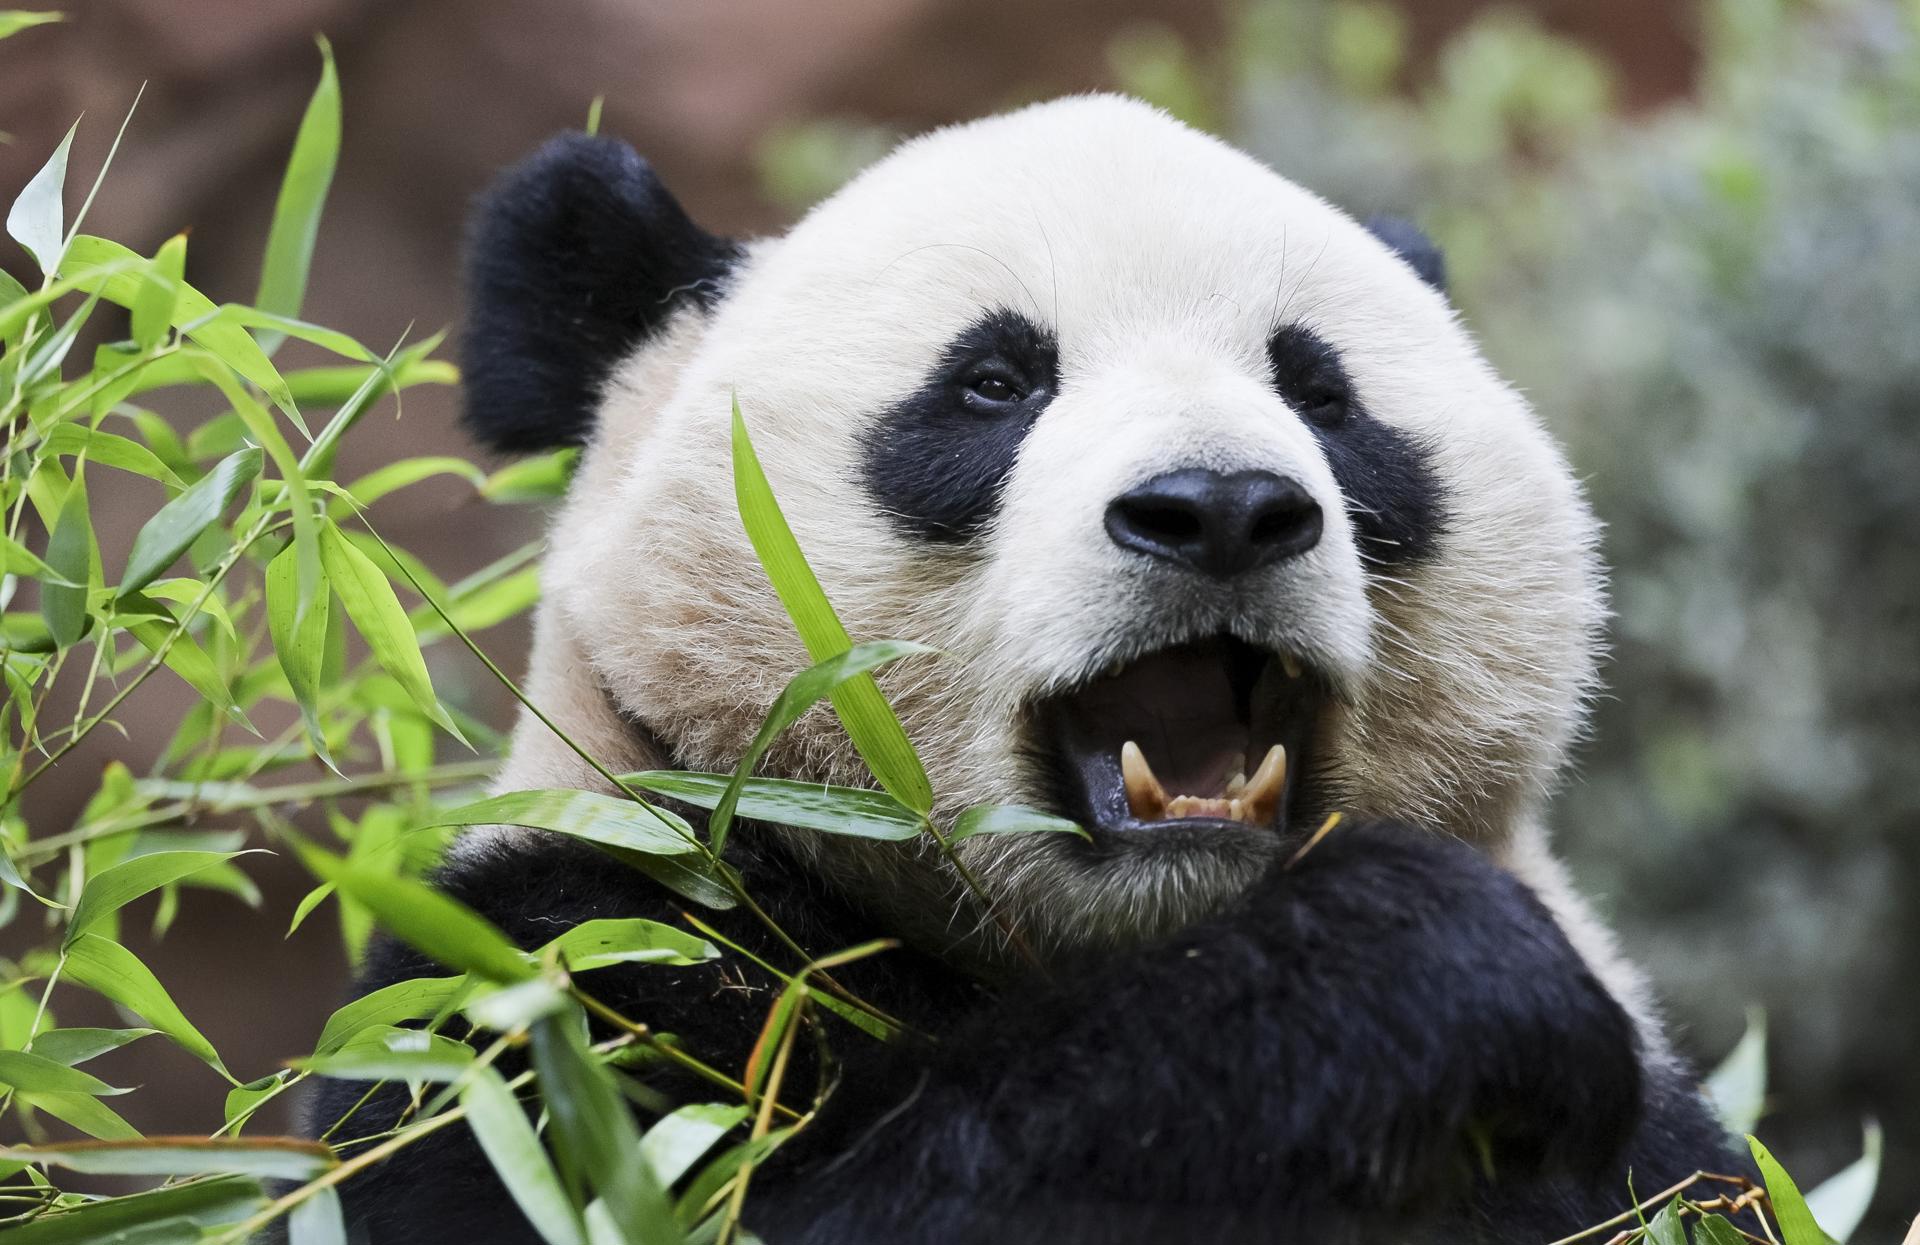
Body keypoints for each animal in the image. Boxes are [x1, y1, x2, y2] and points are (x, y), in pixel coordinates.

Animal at [308, 96, 1743, 1243]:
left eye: (1323, 393)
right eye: (995, 382)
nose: (1220, 509)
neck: (1147, 934)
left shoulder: (1669, 1150)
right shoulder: (556, 983)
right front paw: (1422, 970)